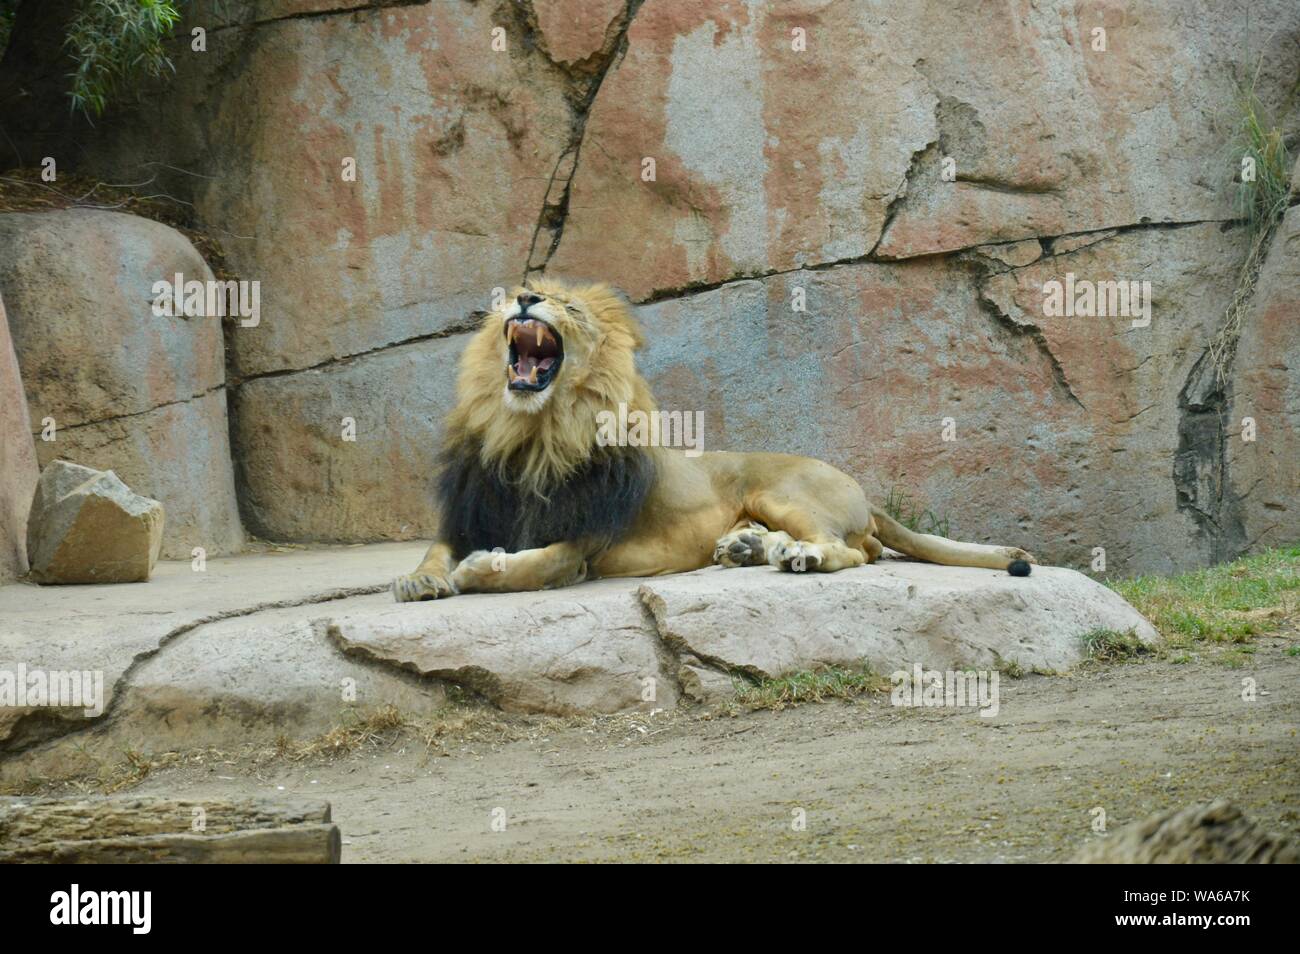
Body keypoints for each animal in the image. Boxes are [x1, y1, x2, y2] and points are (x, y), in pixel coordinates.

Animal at [392, 279, 1035, 602]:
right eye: (524, 291)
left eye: (567, 305)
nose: (526, 298)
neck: (533, 435)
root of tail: (861, 487)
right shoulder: (472, 512)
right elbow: (436, 550)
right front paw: (419, 579)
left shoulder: (583, 546)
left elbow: (532, 564)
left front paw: (479, 570)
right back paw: (750, 548)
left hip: (787, 492)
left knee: (852, 551)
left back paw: (799, 556)